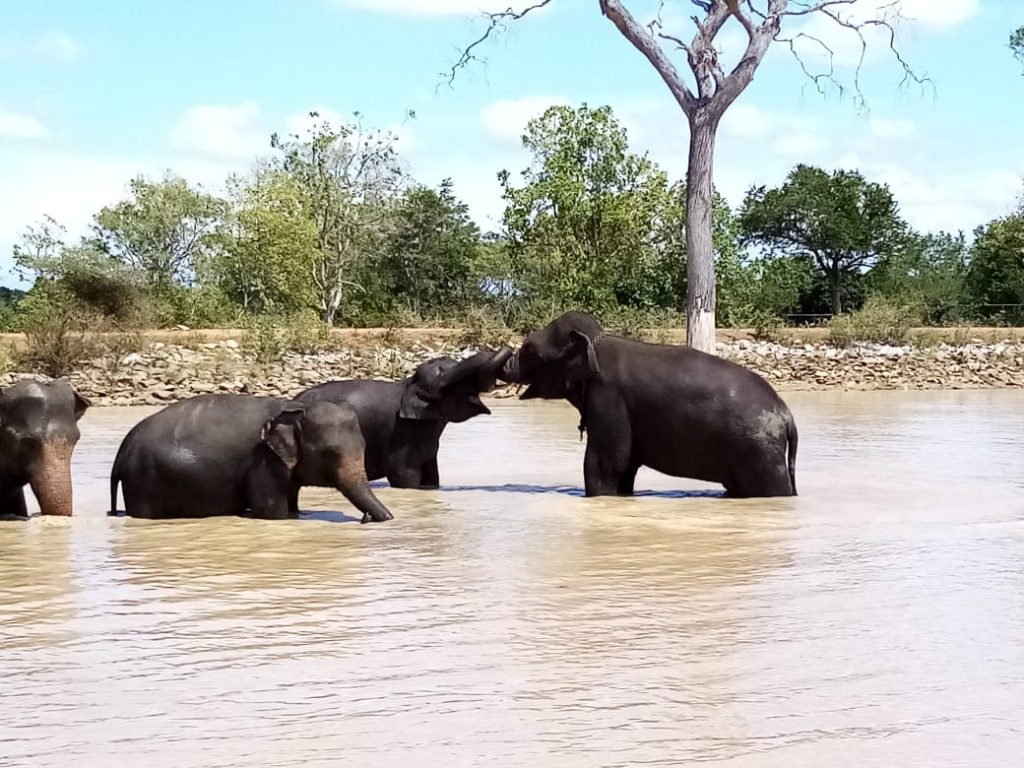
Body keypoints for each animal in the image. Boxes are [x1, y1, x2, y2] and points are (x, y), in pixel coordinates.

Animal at [108, 393, 393, 523]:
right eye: (329, 453)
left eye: (364, 447)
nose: (366, 518)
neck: (294, 408)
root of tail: (123, 447)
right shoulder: (263, 461)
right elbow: (272, 512)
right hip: (142, 481)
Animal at [499, 311, 798, 498]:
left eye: (529, 350)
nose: (504, 358)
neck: (596, 343)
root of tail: (787, 416)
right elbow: (624, 466)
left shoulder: (609, 399)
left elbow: (605, 463)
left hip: (760, 452)